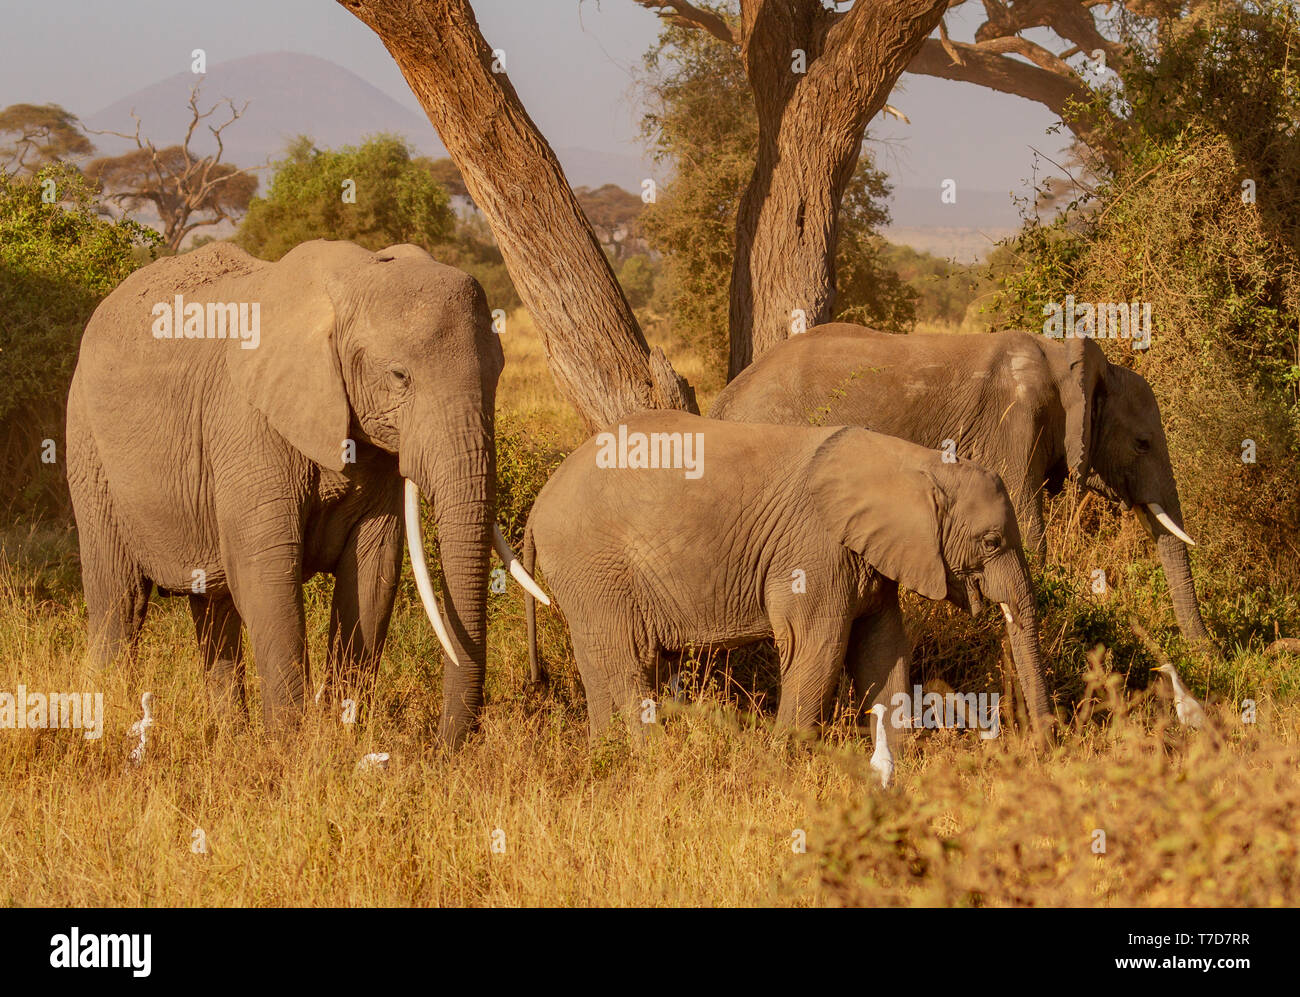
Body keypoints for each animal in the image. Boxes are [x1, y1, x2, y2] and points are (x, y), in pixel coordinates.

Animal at [66, 238, 545, 744]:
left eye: (498, 374)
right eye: (400, 376)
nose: (444, 748)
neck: (353, 282)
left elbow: (373, 573)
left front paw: (342, 737)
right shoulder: (247, 425)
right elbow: (265, 572)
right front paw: (289, 748)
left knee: (212, 607)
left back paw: (231, 738)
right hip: (88, 448)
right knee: (118, 599)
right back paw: (106, 722)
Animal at [522, 410, 1053, 744]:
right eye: (991, 542)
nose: (1045, 741)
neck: (914, 463)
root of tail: (539, 503)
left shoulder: (867, 554)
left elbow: (883, 649)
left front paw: (895, 762)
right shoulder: (814, 551)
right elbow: (818, 646)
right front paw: (782, 760)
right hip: (593, 566)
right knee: (626, 661)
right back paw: (646, 757)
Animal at [710, 323, 1216, 654]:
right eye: (1142, 442)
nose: (1205, 653)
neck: (1066, 359)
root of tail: (725, 398)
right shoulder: (1011, 426)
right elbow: (1028, 528)